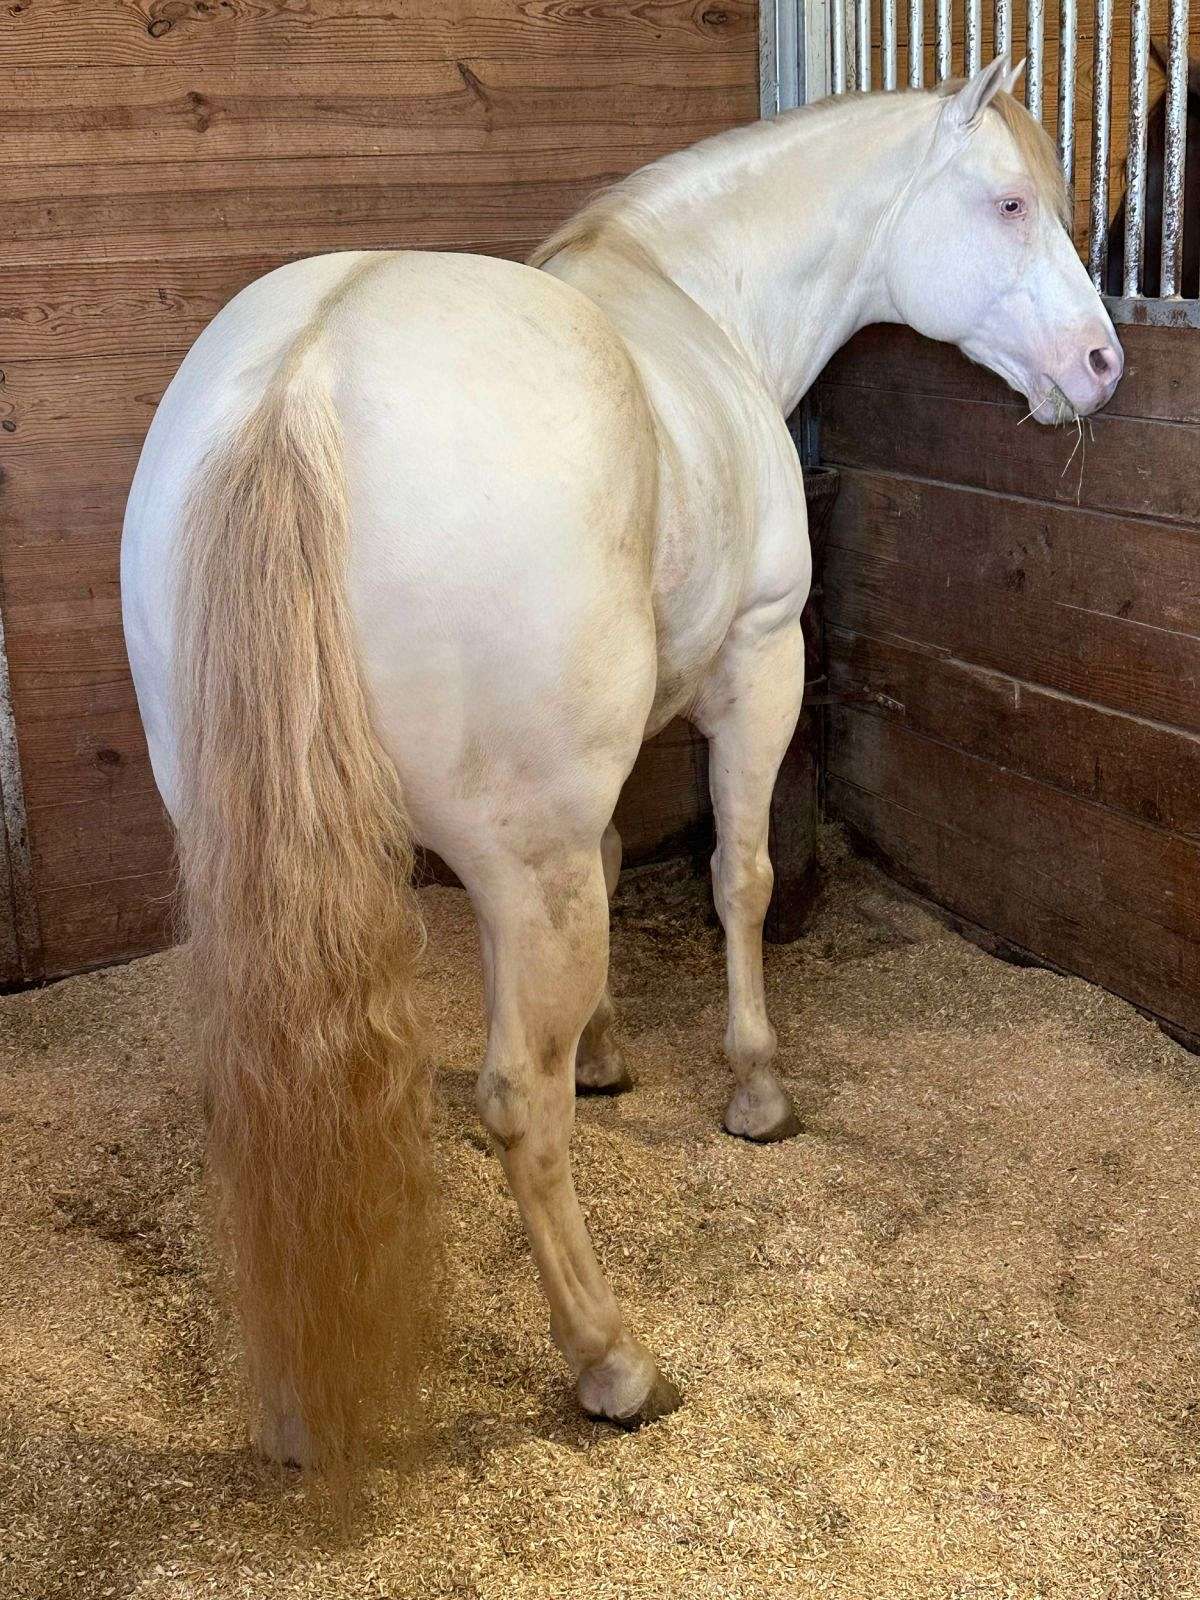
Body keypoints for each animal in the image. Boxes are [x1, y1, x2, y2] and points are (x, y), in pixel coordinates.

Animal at [120, 56, 1123, 1471]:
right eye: (1010, 201)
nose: (1100, 362)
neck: (694, 295)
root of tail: (305, 379)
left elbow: (616, 869)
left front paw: (607, 1054)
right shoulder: (759, 665)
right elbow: (740, 878)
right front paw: (755, 1085)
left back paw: (302, 1402)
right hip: (515, 860)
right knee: (514, 1104)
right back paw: (610, 1358)